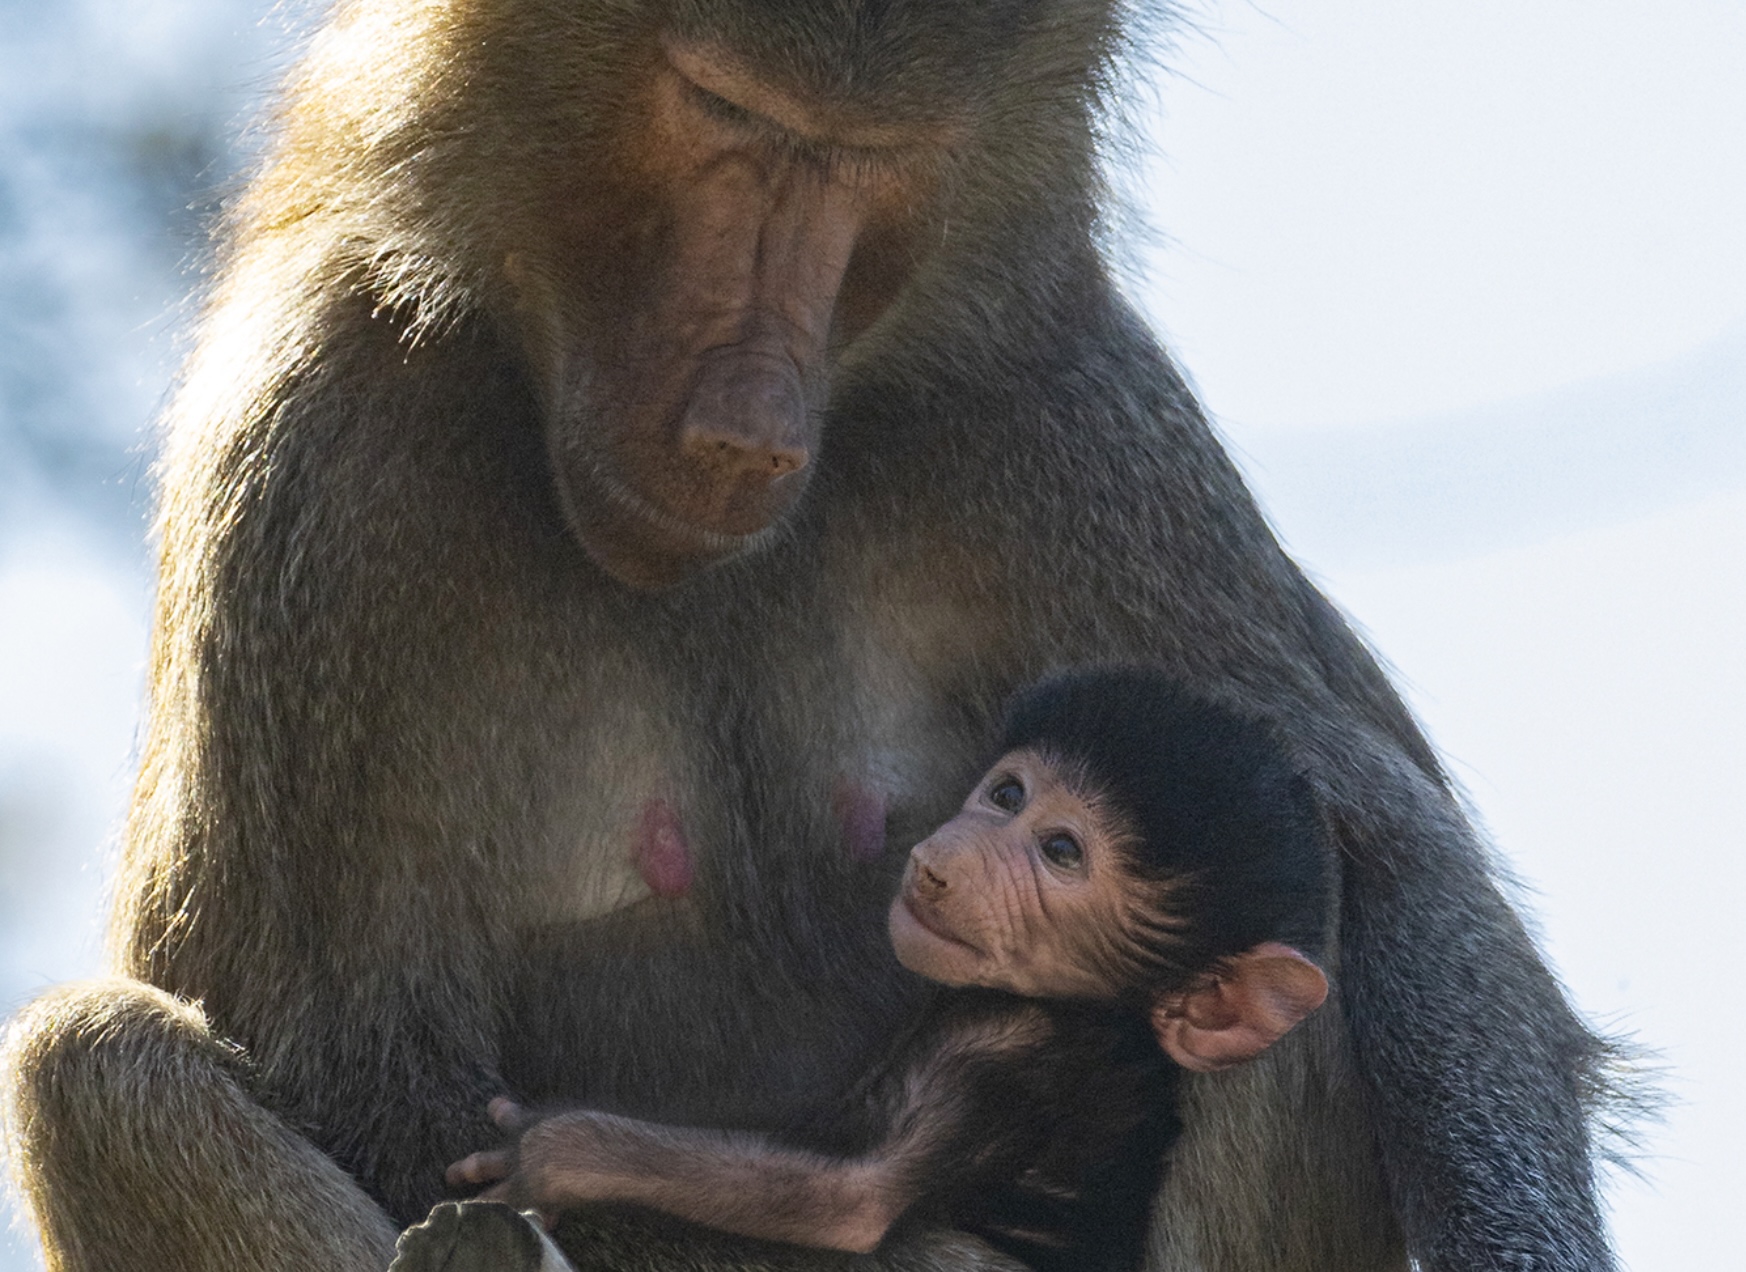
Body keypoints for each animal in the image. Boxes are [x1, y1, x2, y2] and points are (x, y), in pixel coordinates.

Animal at [435, 670, 1332, 1272]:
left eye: (1062, 851)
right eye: (1008, 795)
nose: (940, 863)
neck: (1098, 1012)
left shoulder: (1004, 1048)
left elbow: (847, 1203)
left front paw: (550, 1150)